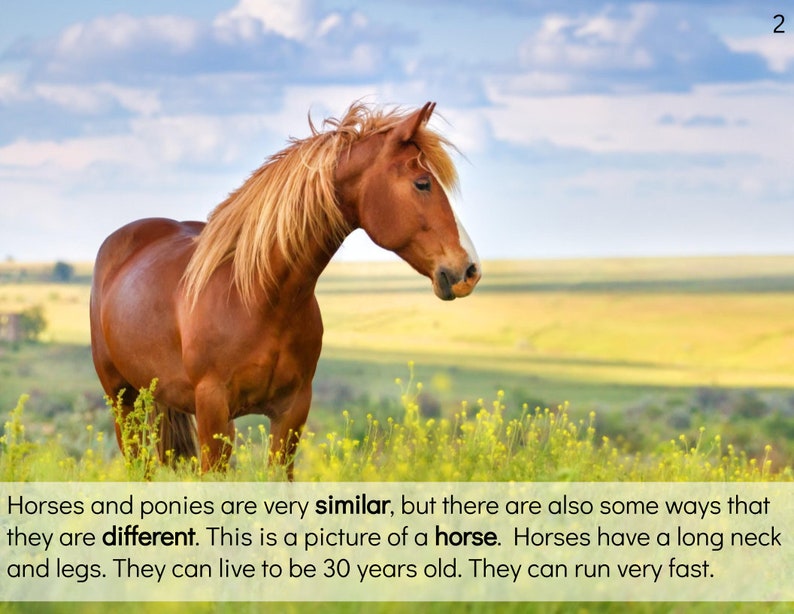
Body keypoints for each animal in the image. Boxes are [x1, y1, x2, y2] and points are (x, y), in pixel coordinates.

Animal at [89, 101, 481, 477]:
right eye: (422, 183)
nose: (469, 270)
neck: (259, 298)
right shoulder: (213, 411)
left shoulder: (292, 412)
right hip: (123, 401)